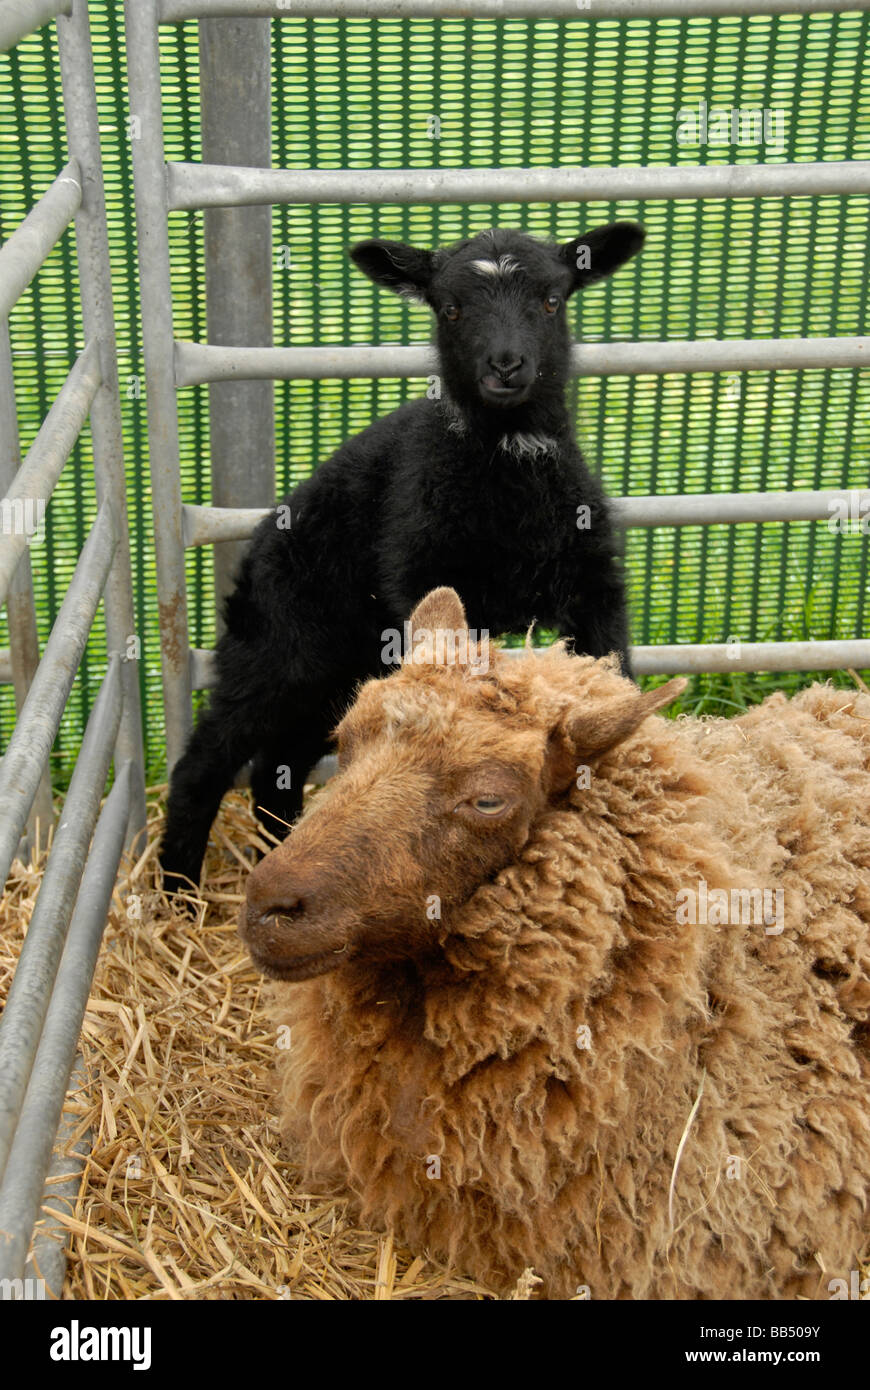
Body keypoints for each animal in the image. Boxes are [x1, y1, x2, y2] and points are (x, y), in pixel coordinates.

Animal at [159, 221, 645, 892]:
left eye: (553, 301)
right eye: (450, 307)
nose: (506, 364)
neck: (508, 469)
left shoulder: (594, 587)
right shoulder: (427, 577)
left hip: (338, 665)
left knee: (277, 764)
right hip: (280, 647)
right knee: (205, 762)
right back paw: (178, 891)